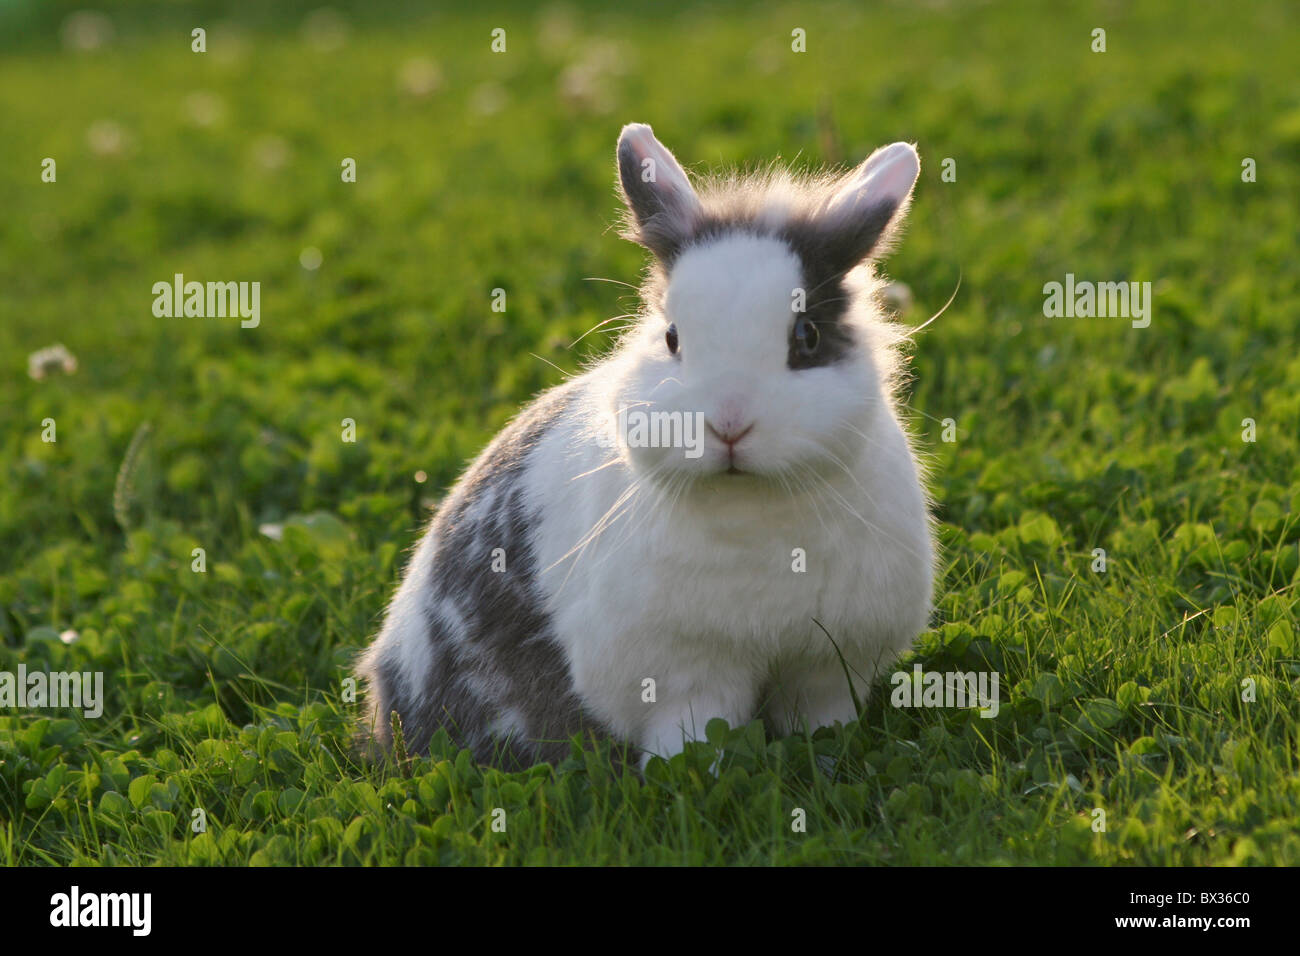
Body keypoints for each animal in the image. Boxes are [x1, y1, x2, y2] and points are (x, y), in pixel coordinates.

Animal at [357, 123, 936, 770]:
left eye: (807, 336)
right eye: (672, 337)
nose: (728, 425)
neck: (751, 506)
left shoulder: (829, 670)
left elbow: (823, 721)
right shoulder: (686, 679)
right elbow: (694, 735)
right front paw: (693, 774)